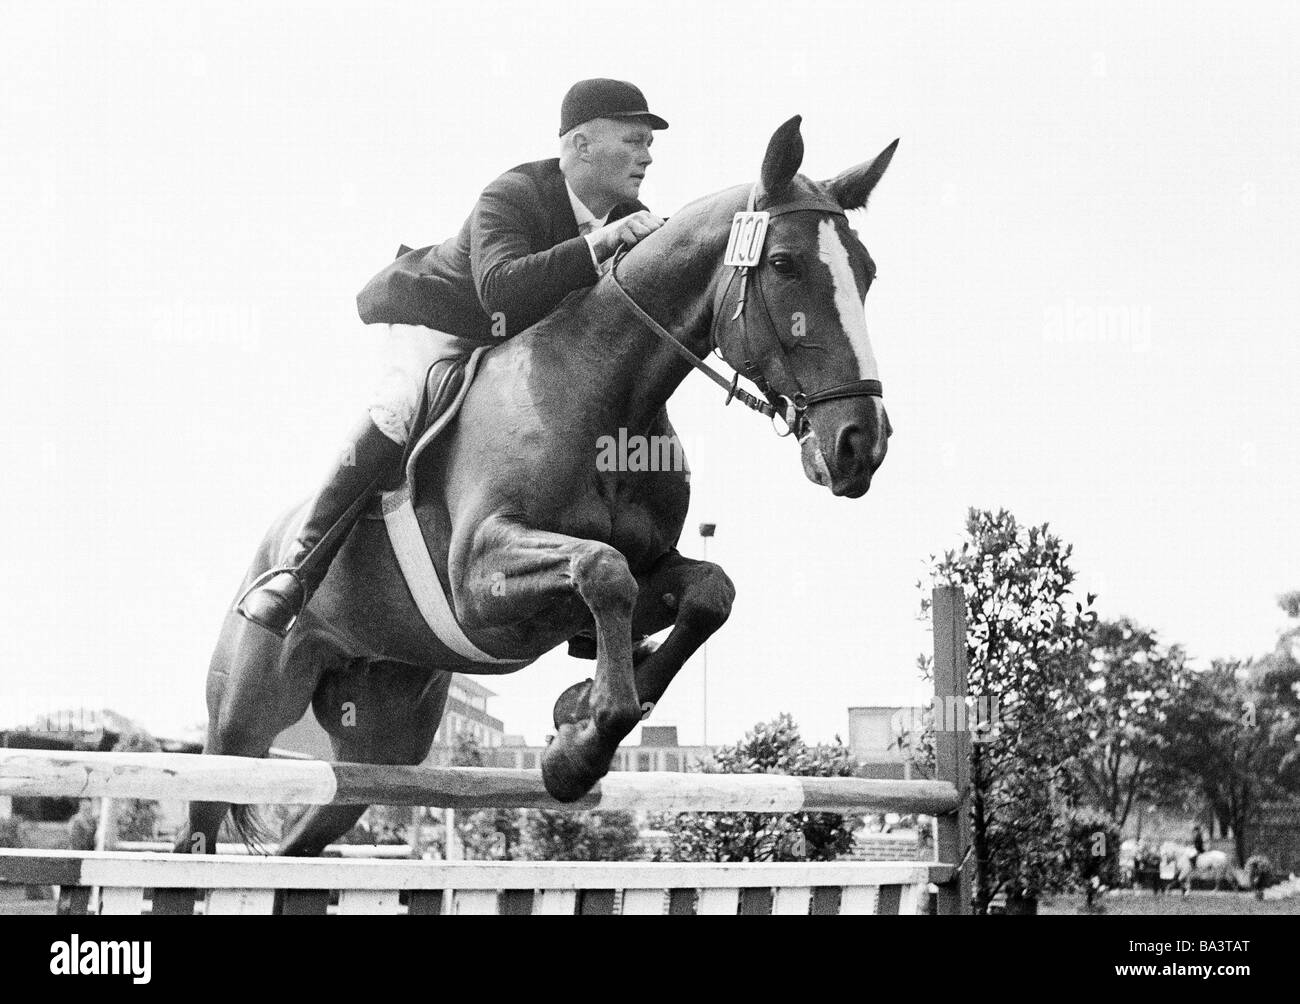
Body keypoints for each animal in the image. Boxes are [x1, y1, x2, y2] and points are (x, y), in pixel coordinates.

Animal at [177, 116, 897, 856]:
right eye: (783, 264)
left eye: (866, 272)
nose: (860, 445)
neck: (608, 396)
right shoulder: (478, 578)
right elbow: (603, 569)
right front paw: (578, 747)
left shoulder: (652, 567)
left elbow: (707, 593)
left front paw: (577, 715)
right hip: (243, 718)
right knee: (205, 815)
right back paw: (280, 591)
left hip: (384, 739)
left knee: (311, 834)